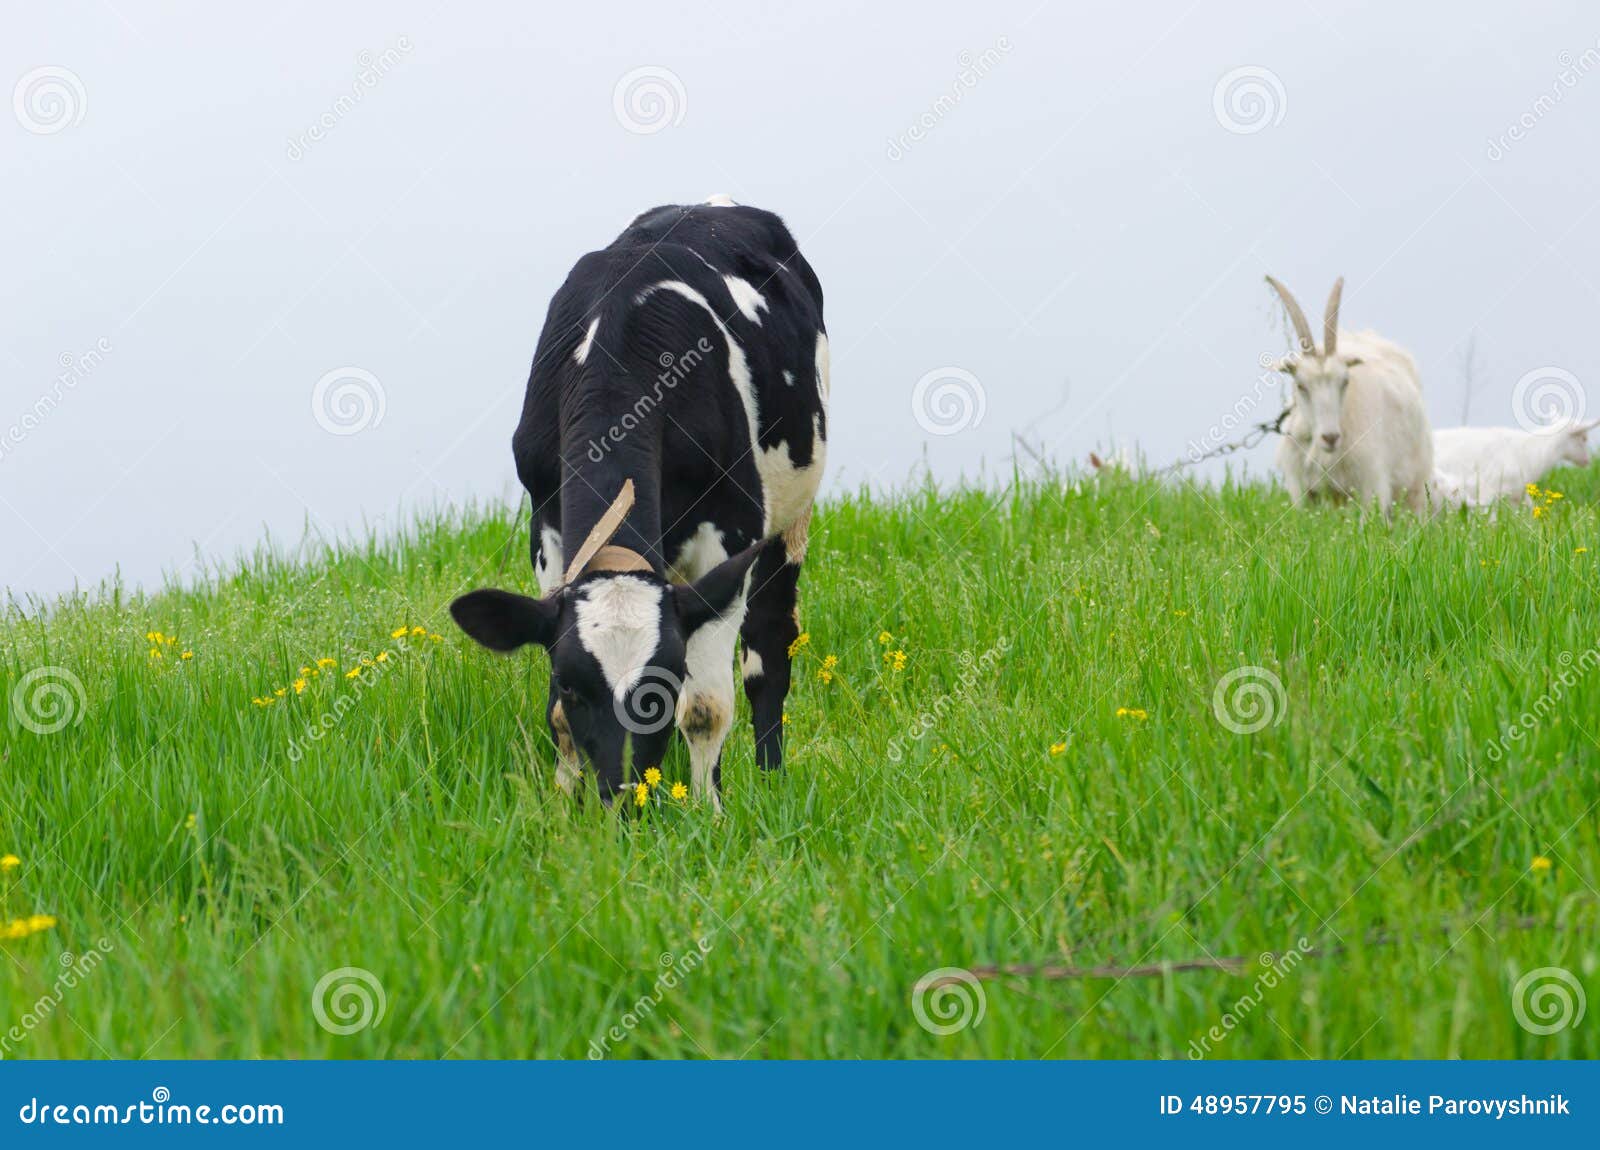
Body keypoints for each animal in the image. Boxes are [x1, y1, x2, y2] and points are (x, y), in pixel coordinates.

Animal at [451, 197, 828, 812]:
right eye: (573, 683)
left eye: (664, 683)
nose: (621, 796)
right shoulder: (546, 530)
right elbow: (557, 717)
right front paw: (566, 804)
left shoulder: (733, 529)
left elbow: (705, 707)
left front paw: (709, 812)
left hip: (792, 513)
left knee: (769, 650)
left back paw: (771, 778)